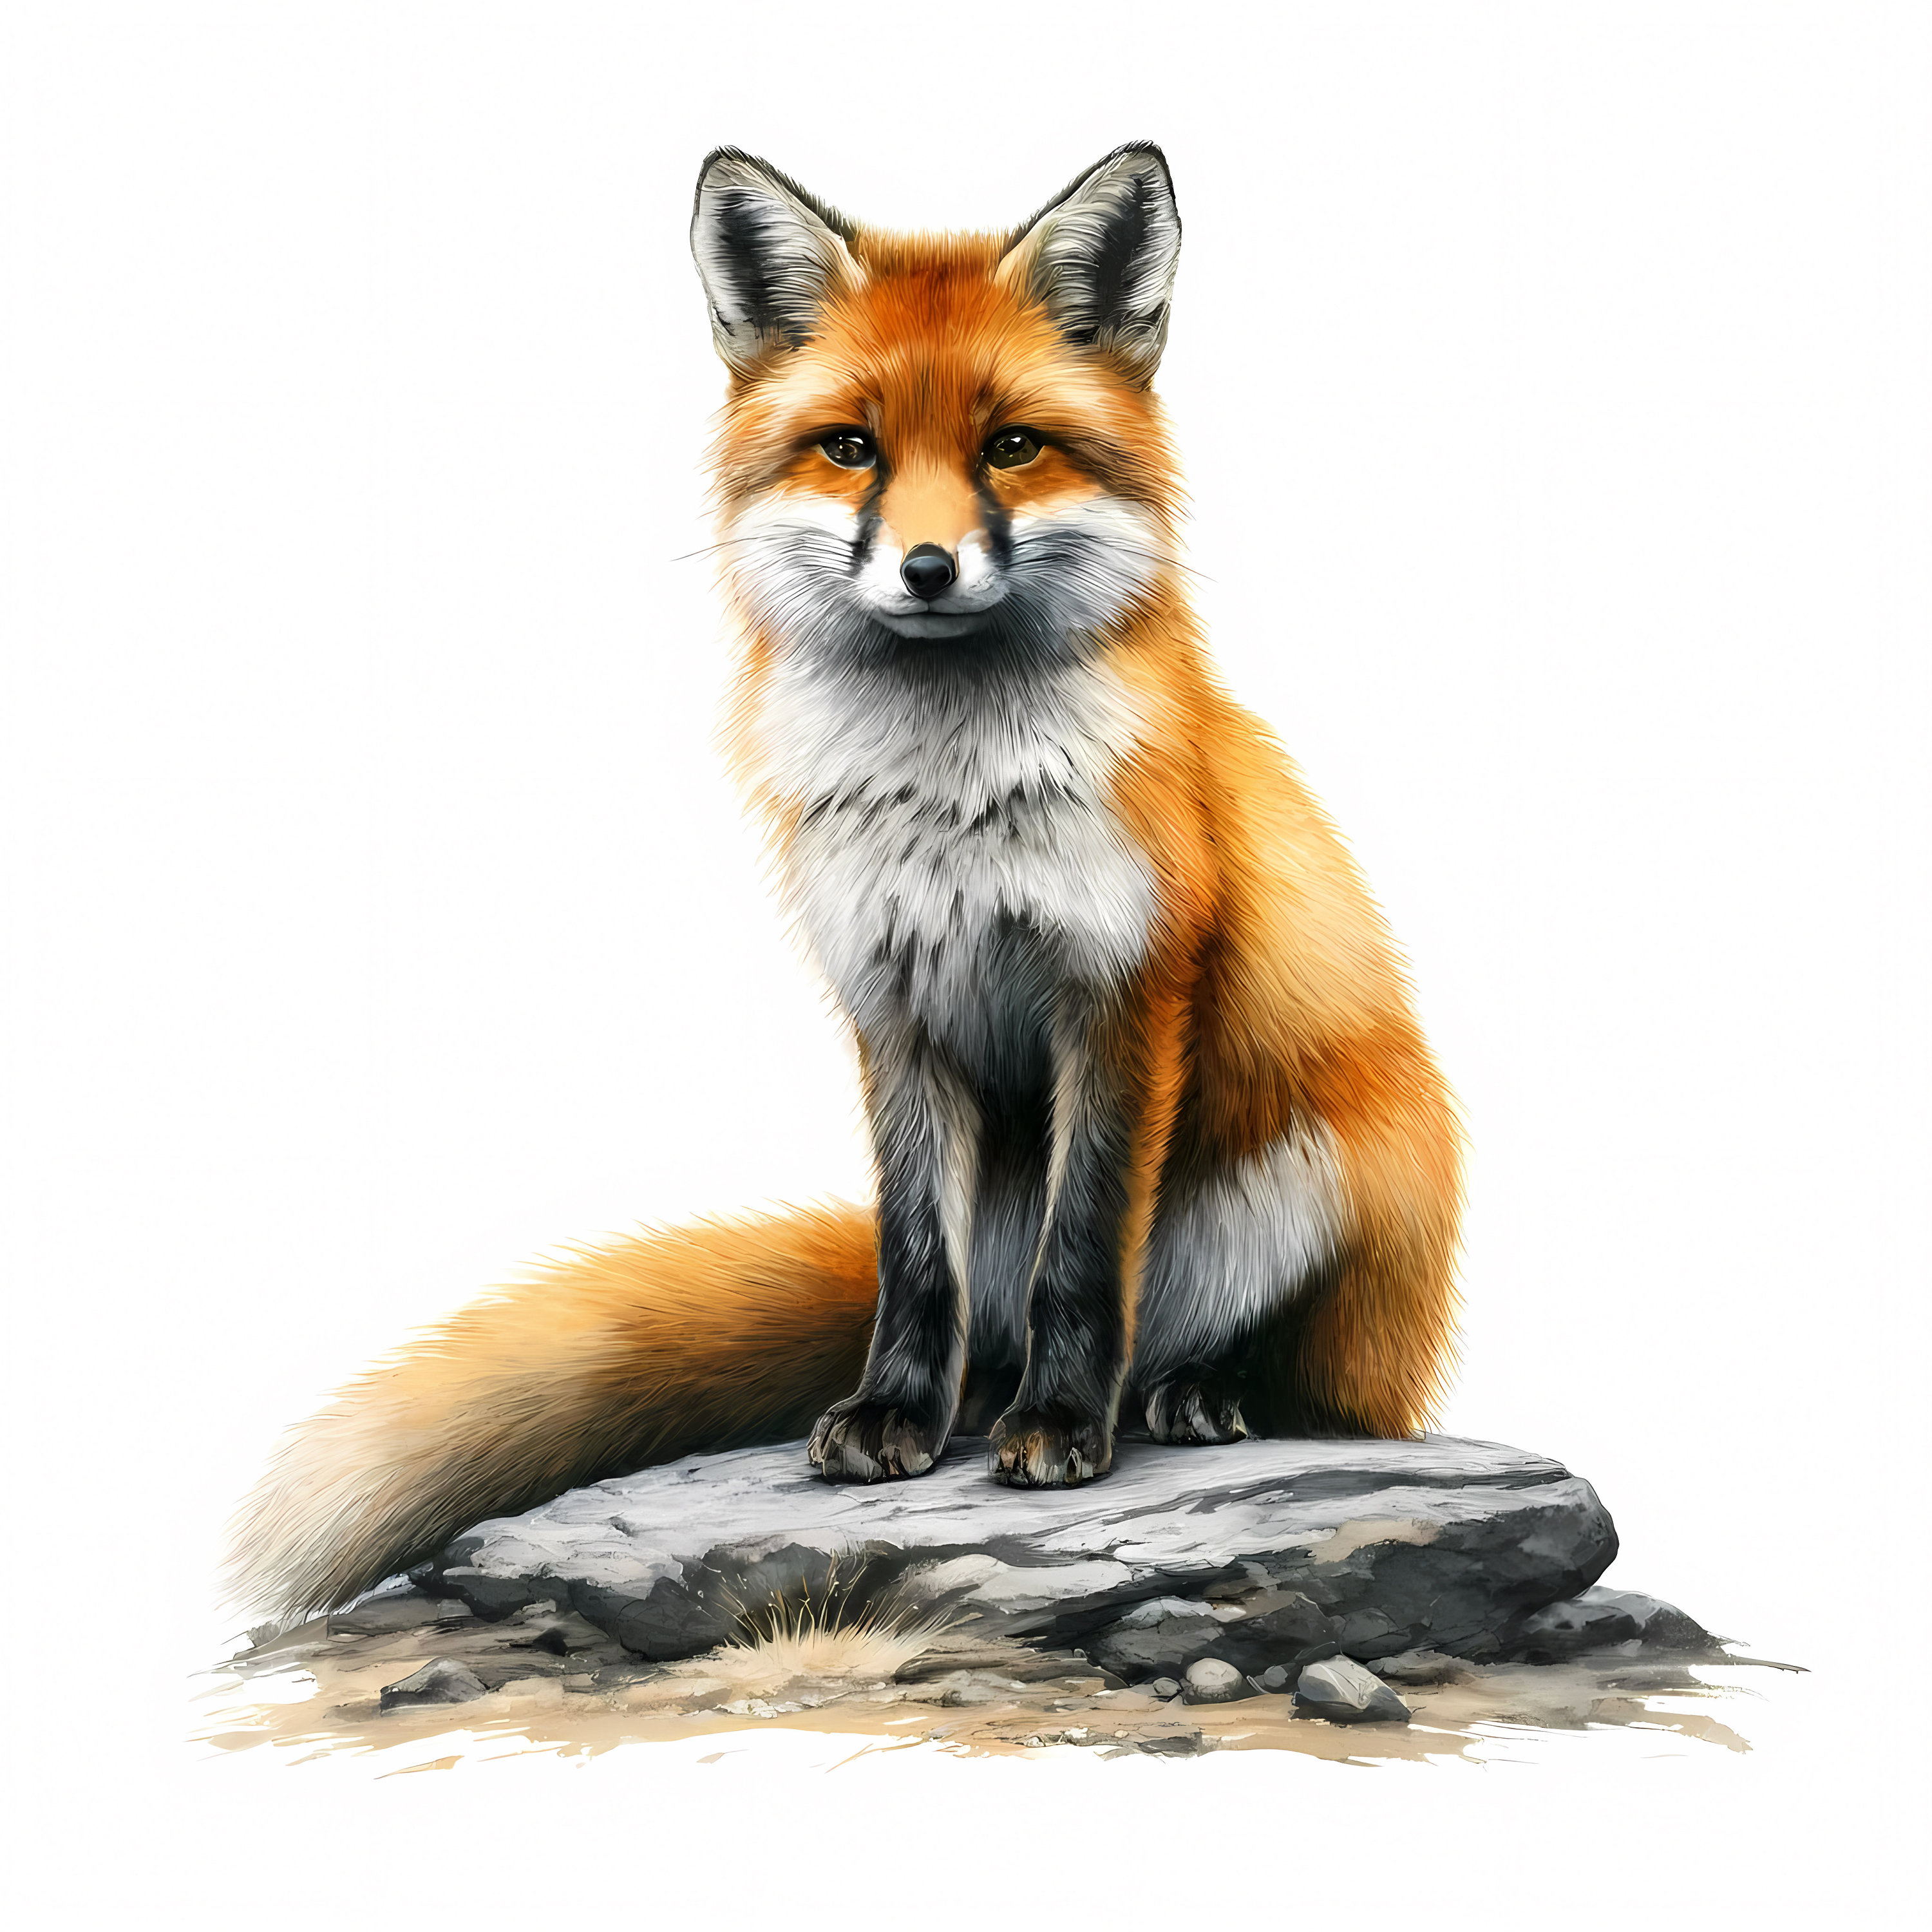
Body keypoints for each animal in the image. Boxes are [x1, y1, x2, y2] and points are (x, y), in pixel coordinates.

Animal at [228, 144, 1464, 1627]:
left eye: (1010, 448)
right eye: (853, 448)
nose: (927, 567)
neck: (952, 803)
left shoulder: (1119, 986)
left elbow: (1083, 1252)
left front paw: (1063, 1424)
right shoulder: (891, 997)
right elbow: (914, 1262)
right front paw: (898, 1415)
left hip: (1329, 1177)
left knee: (1326, 1389)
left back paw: (1193, 1391)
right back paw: (991, 1397)